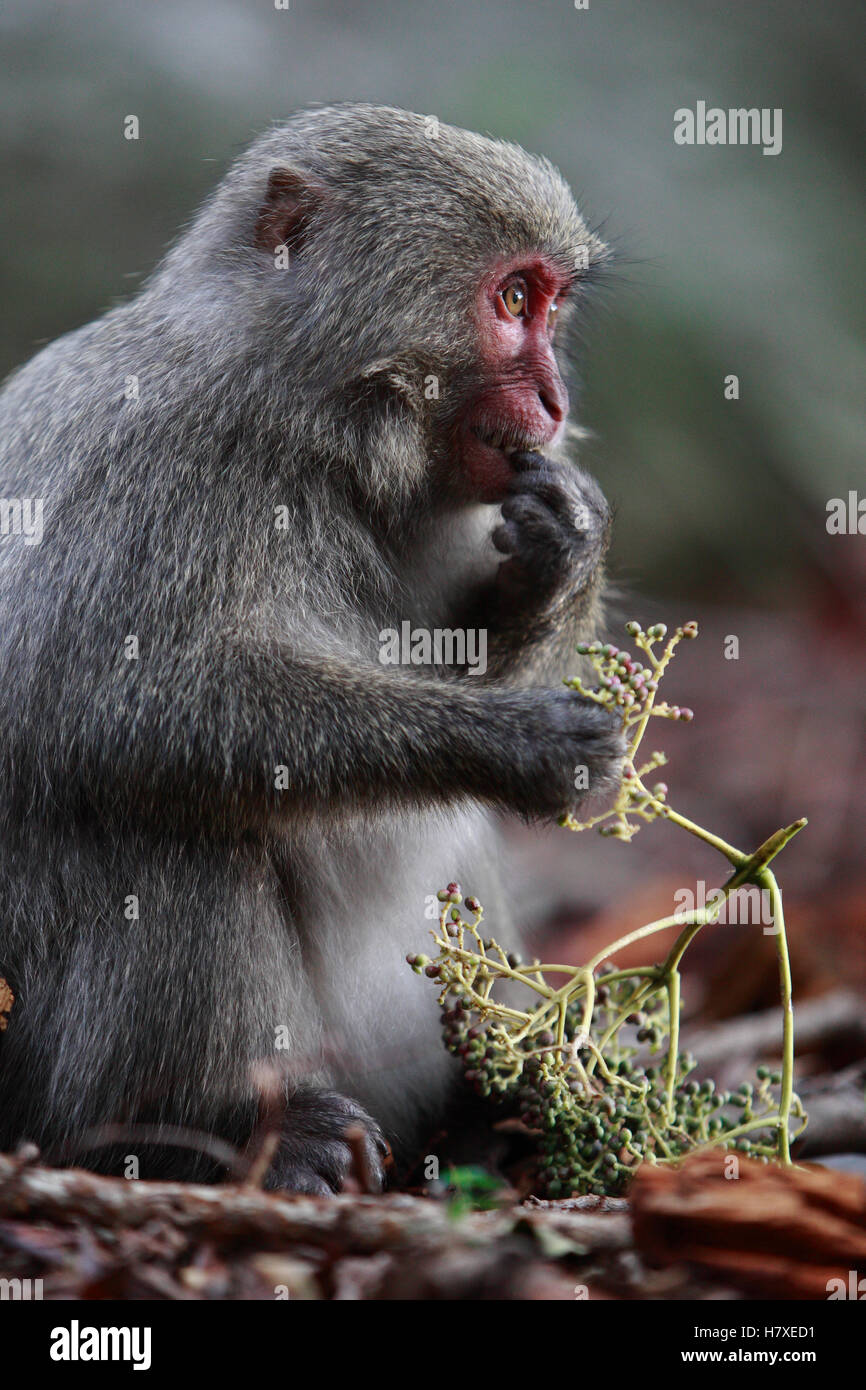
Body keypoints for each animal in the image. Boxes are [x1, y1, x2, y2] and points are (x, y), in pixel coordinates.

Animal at [0, 104, 623, 1194]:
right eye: (513, 299)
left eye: (552, 305)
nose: (554, 404)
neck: (313, 422)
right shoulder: (160, 457)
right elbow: (105, 707)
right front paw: (519, 743)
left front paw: (567, 548)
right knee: (159, 823)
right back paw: (195, 1131)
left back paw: (496, 1106)